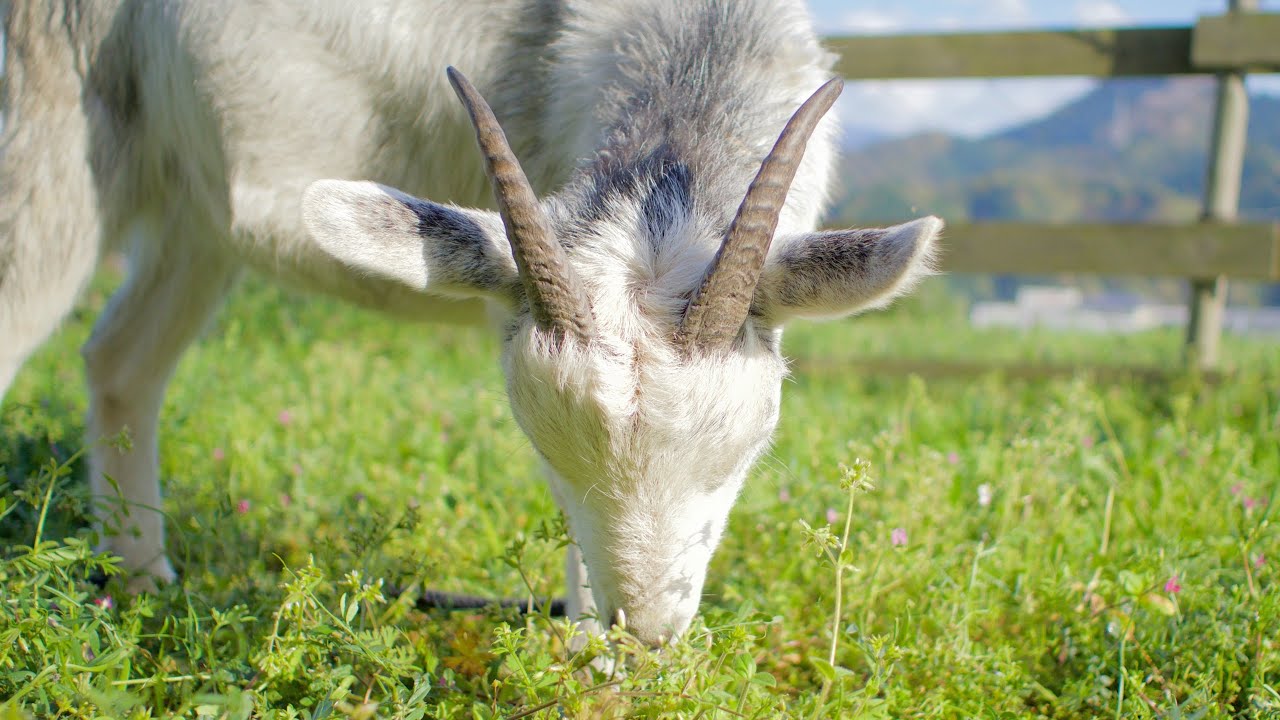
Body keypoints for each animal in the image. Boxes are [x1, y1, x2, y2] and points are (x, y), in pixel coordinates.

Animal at [0, 0, 941, 646]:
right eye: (547, 455)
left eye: (745, 449)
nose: (644, 635)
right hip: (50, 118)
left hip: (195, 212)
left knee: (121, 360)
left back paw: (139, 581)